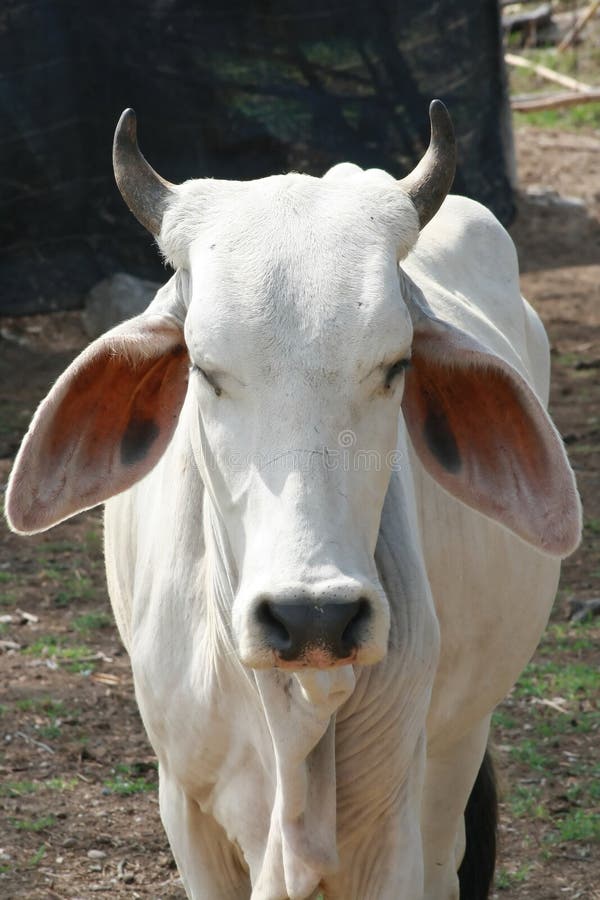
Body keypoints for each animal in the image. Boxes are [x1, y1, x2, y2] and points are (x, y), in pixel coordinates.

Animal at [5, 101, 581, 900]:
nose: (315, 616)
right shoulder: (188, 812)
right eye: (203, 368)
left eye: (396, 365)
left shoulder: (395, 829)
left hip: (457, 753)